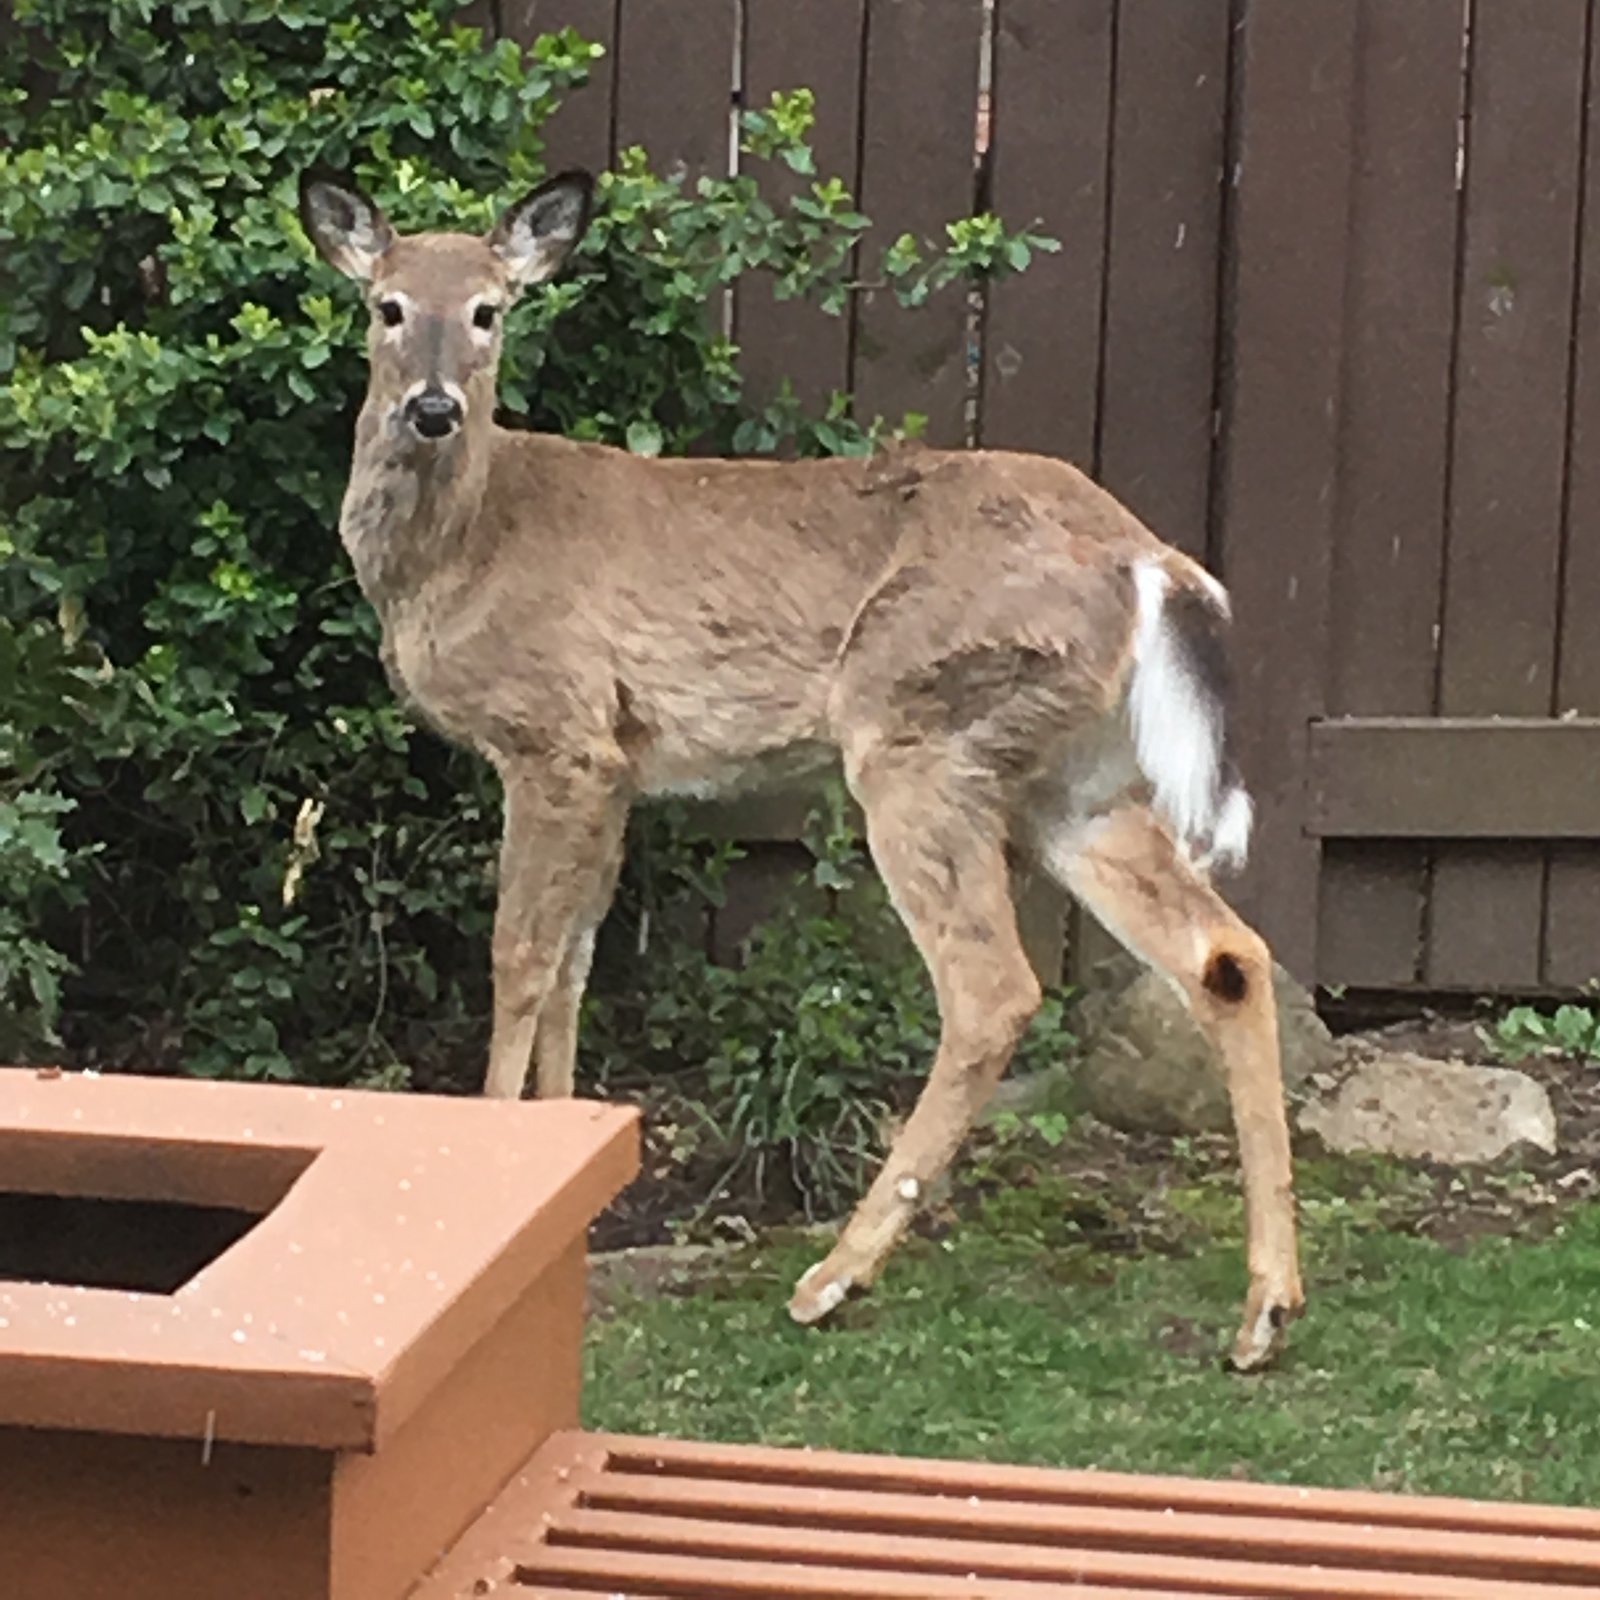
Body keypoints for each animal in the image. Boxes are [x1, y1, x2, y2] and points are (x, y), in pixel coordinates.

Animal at [299, 164, 1303, 1372]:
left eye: (491, 309)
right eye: (387, 306)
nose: (434, 407)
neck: (464, 547)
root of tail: (1148, 561)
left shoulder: (556, 735)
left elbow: (521, 958)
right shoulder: (618, 766)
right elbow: (578, 962)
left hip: (915, 729)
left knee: (992, 988)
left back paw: (832, 1277)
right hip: (1074, 781)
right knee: (1225, 955)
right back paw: (1265, 1311)